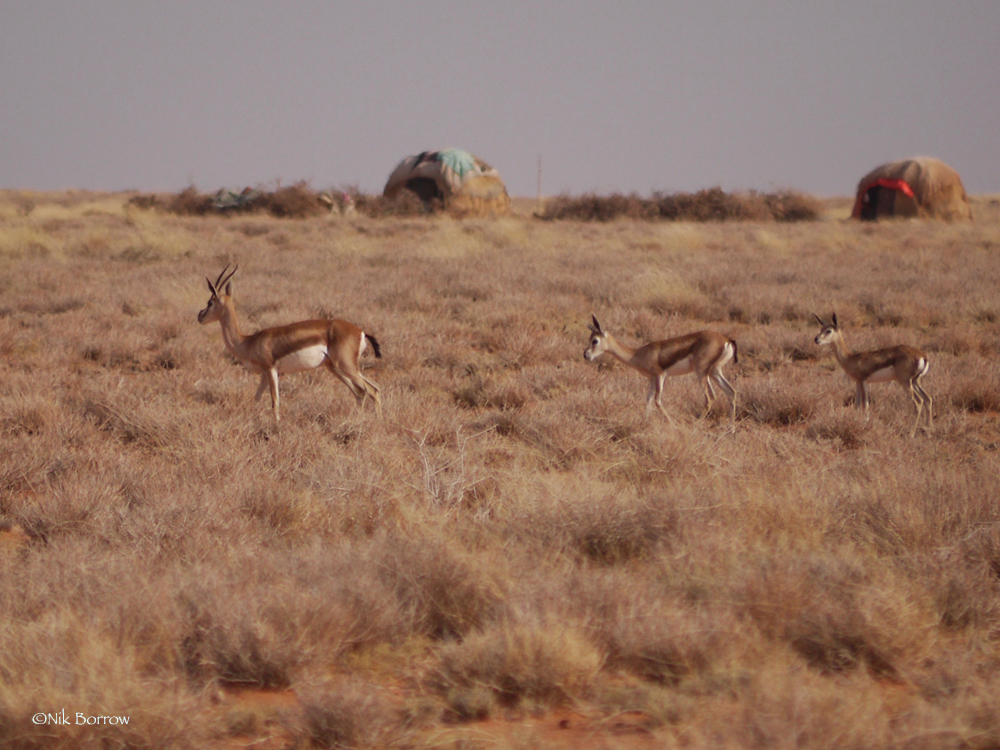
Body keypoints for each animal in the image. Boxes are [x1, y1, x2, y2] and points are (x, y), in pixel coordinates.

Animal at [198, 265, 382, 421]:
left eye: (210, 302)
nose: (199, 316)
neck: (248, 342)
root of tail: (361, 332)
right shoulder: (265, 375)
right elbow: (257, 398)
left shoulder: (271, 370)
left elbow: (275, 400)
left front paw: (276, 426)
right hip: (334, 368)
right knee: (360, 392)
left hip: (345, 366)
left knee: (371, 390)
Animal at [584, 315, 738, 421]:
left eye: (595, 341)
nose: (586, 355)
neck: (637, 354)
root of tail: (726, 339)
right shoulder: (652, 379)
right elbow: (648, 400)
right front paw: (645, 422)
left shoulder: (660, 376)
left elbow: (657, 401)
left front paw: (673, 425)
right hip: (714, 371)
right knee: (731, 392)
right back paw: (730, 430)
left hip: (701, 372)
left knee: (710, 398)